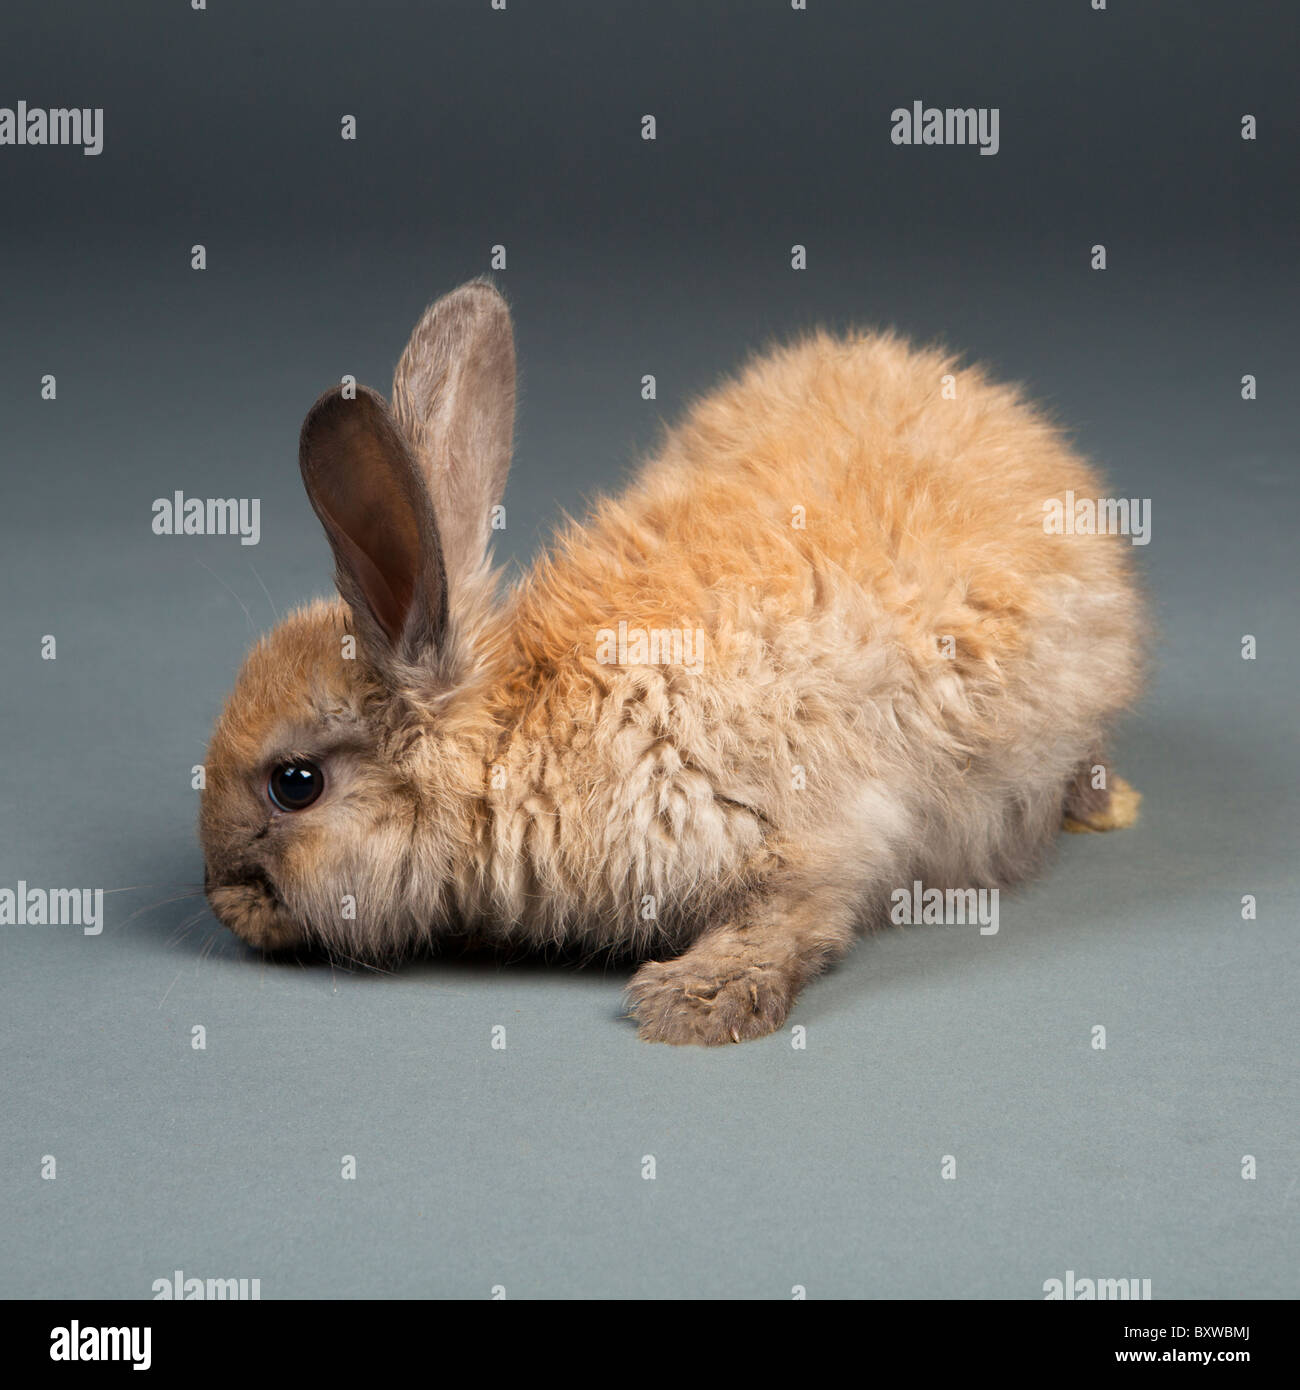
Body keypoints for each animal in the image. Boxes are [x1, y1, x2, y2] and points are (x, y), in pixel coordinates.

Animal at [200, 277, 1144, 1045]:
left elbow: (797, 913)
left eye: (294, 784)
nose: (221, 900)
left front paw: (696, 1003)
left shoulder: (801, 826)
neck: (515, 738)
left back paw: (1103, 805)